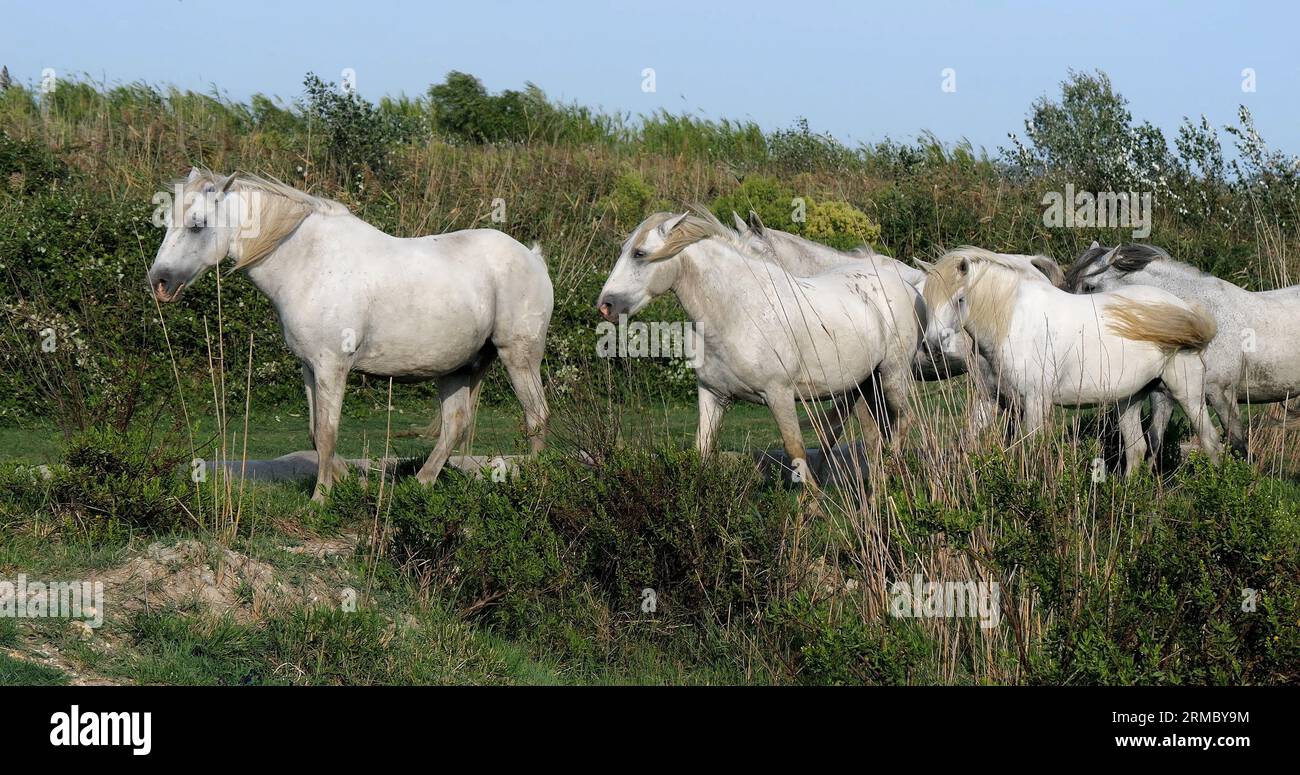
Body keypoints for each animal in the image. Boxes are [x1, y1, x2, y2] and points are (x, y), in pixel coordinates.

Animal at [146, 169, 552, 501]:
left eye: (197, 224)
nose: (159, 282)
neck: (308, 262)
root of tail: (532, 257)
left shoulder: (332, 366)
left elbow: (327, 432)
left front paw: (321, 497)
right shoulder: (309, 367)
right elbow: (315, 432)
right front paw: (346, 480)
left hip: (519, 357)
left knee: (536, 417)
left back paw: (536, 483)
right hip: (456, 368)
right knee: (455, 424)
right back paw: (420, 484)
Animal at [596, 210, 922, 481]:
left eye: (639, 253)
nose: (605, 305)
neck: (738, 311)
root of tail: (903, 284)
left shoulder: (779, 395)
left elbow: (796, 453)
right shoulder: (712, 395)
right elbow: (702, 451)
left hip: (892, 375)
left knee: (904, 420)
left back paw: (891, 472)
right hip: (863, 385)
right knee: (874, 435)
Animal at [921, 248, 1222, 473]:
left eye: (960, 299)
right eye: (926, 298)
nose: (933, 346)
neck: (1013, 324)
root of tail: (1184, 309)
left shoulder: (1036, 401)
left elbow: (1032, 450)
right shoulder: (989, 401)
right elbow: (965, 441)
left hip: (1187, 393)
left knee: (1211, 442)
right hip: (1129, 398)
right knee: (1137, 448)